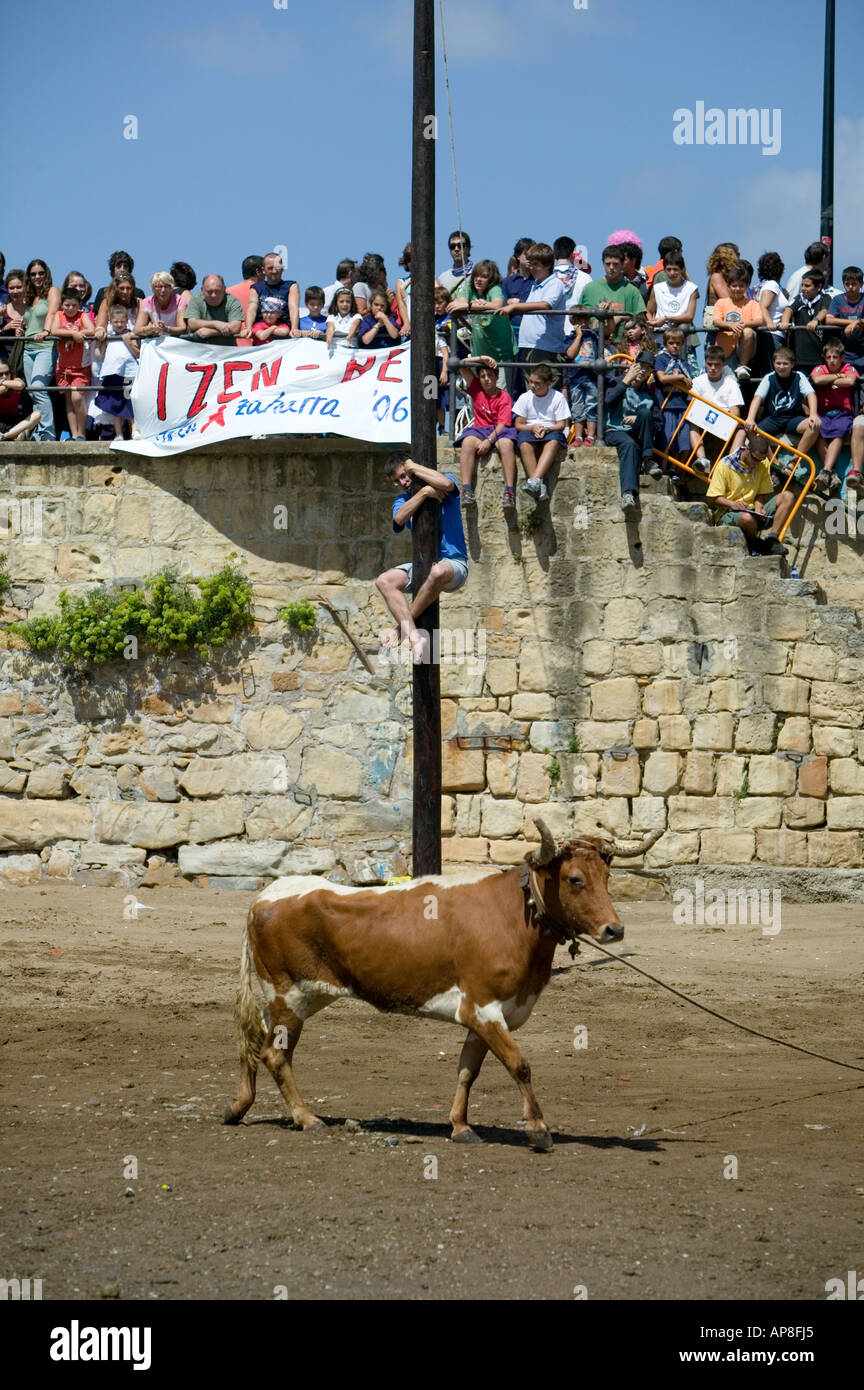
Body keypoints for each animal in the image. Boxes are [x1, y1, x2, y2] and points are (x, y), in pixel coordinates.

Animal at [224, 820, 661, 1151]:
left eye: (607, 876)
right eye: (574, 879)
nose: (615, 929)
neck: (515, 916)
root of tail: (267, 894)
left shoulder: (486, 1014)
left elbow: (468, 1070)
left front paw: (461, 1126)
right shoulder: (483, 1007)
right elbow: (519, 1065)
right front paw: (538, 1129)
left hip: (290, 999)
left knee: (251, 1040)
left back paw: (238, 1107)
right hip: (289, 996)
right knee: (274, 1054)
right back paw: (306, 1117)